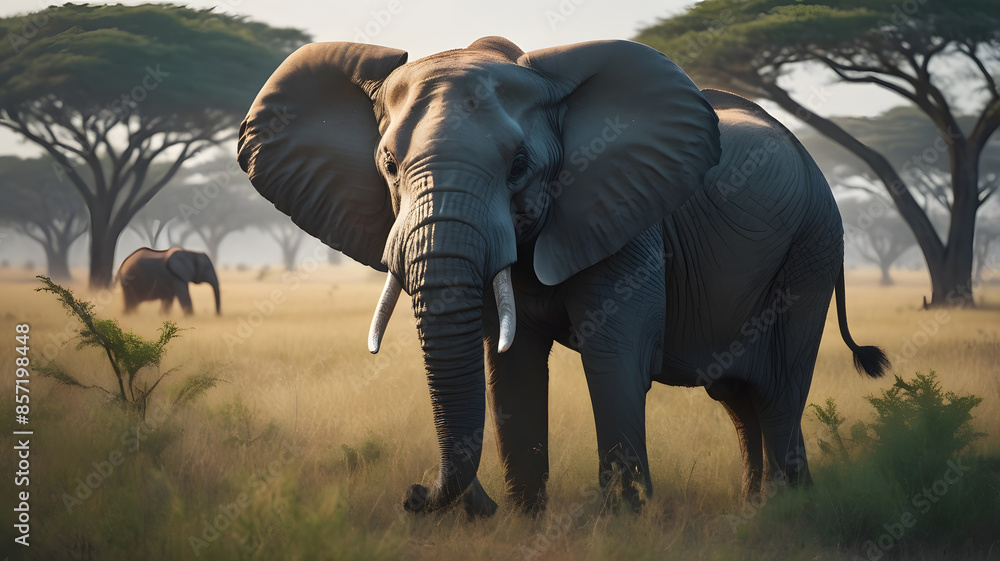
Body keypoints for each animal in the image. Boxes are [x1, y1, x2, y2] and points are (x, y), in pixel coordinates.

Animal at [237, 37, 889, 516]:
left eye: (519, 166)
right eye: (389, 166)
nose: (416, 494)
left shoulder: (627, 217)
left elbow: (616, 353)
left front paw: (623, 520)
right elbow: (512, 362)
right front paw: (527, 518)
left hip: (812, 247)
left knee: (777, 391)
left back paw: (785, 510)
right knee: (738, 397)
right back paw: (758, 509)